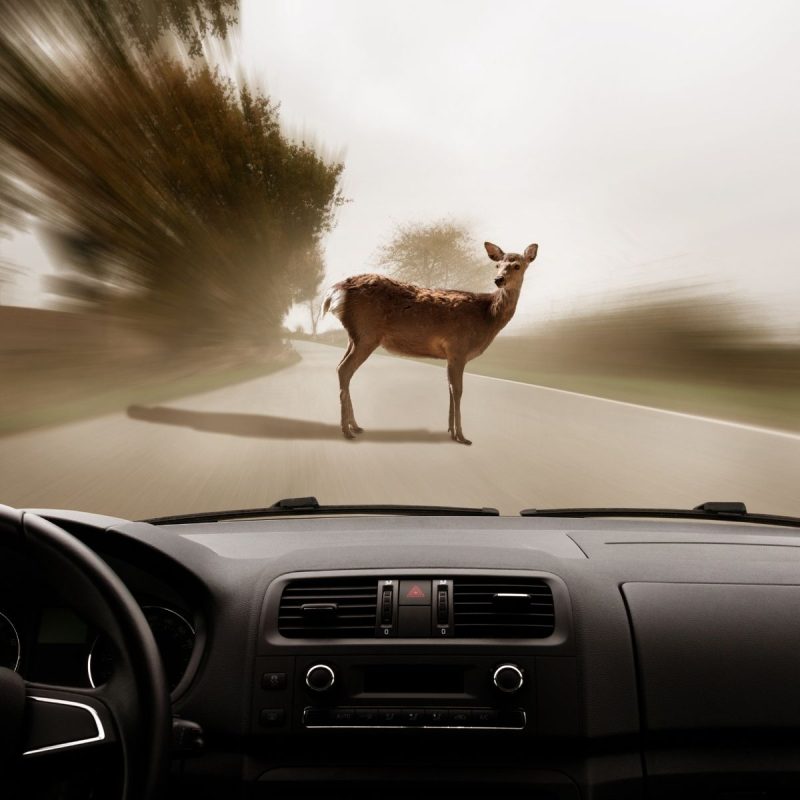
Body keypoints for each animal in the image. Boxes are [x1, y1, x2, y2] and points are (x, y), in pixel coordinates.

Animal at [322, 241, 538, 444]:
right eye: (497, 265)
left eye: (517, 265)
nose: (498, 280)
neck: (487, 317)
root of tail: (335, 291)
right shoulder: (458, 348)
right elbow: (458, 390)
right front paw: (462, 436)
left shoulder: (451, 355)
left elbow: (450, 389)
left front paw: (451, 431)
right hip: (367, 334)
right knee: (344, 369)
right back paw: (347, 431)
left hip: (355, 336)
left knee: (341, 368)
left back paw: (355, 426)